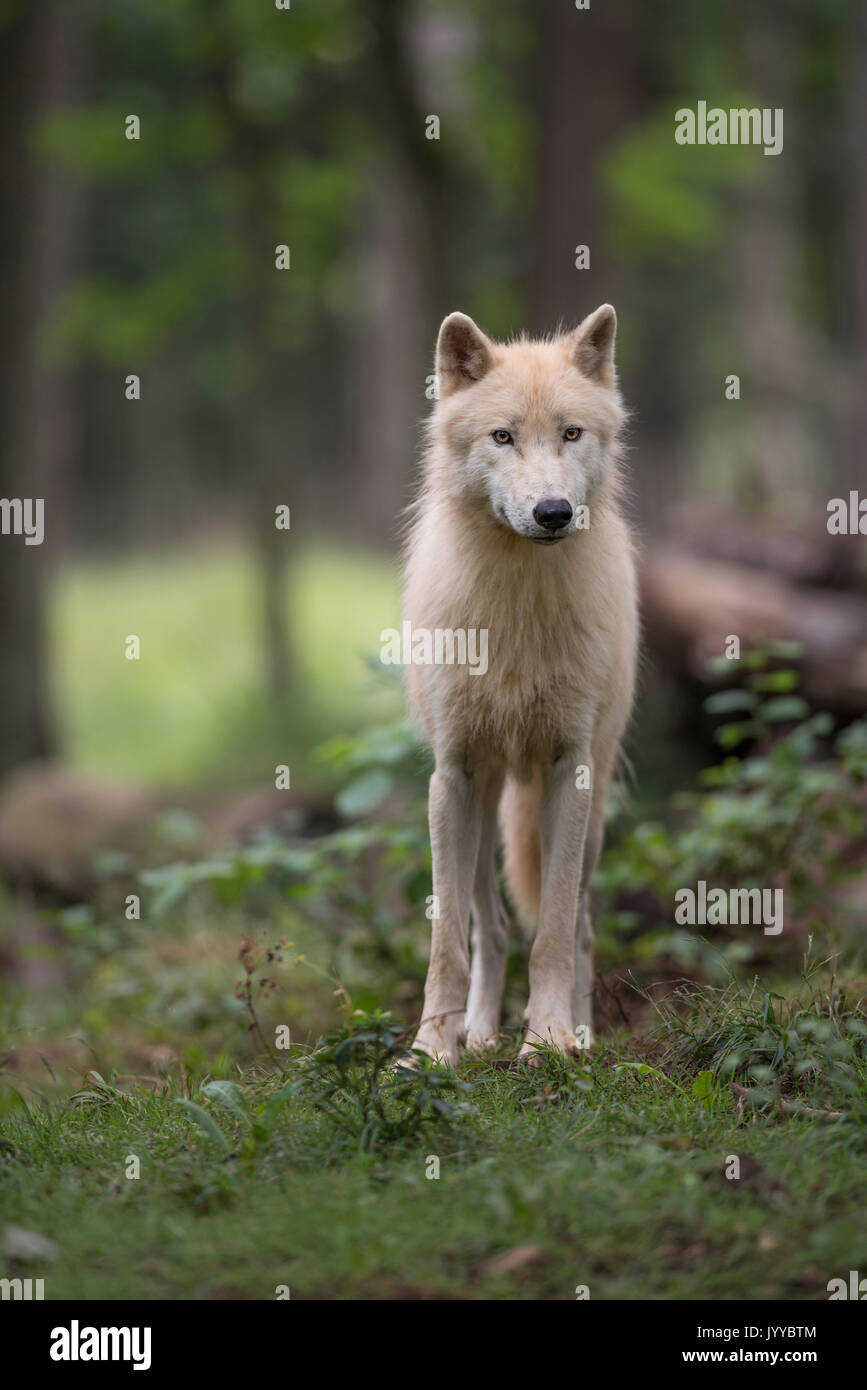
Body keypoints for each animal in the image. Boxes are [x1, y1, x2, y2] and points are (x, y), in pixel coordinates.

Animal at [402, 305, 638, 1064]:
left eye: (570, 433)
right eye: (502, 436)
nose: (554, 512)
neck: (517, 605)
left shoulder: (568, 771)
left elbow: (555, 933)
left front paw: (547, 1040)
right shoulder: (452, 776)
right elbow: (447, 943)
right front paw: (430, 1051)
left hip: (588, 818)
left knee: (582, 926)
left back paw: (582, 1032)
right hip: (480, 804)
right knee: (492, 927)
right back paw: (476, 1037)